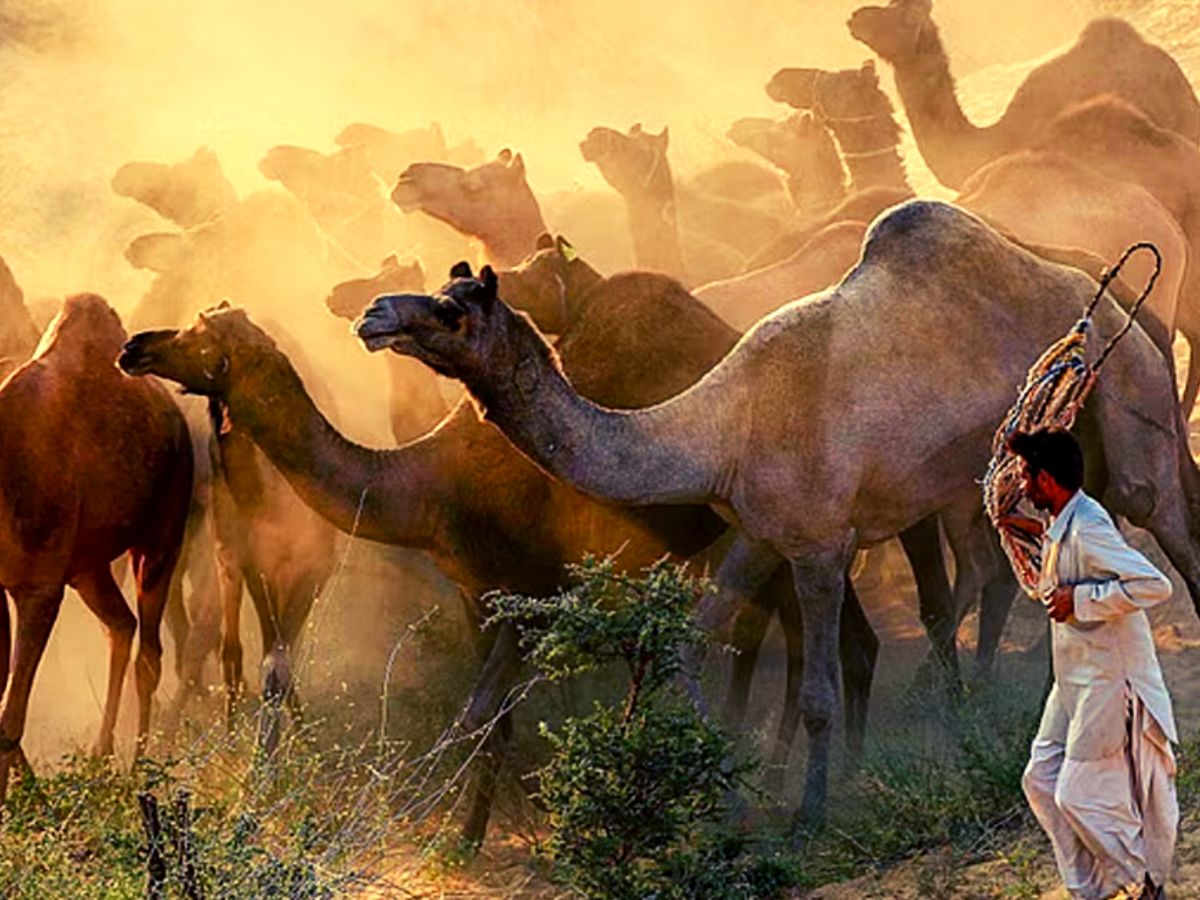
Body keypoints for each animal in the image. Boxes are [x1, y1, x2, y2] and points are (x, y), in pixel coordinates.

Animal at [0, 295, 192, 802]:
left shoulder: (39, 586)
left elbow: (10, 713)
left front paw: (27, 801)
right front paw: (31, 796)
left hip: (160, 539)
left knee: (150, 652)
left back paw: (139, 769)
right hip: (86, 567)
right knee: (120, 625)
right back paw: (99, 756)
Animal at [356, 201, 1200, 831]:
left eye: (452, 311)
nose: (373, 314)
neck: (722, 428)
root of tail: (1120, 303)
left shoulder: (821, 542)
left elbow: (820, 691)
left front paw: (809, 815)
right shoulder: (758, 530)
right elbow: (691, 641)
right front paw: (722, 795)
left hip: (1132, 401)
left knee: (1167, 526)